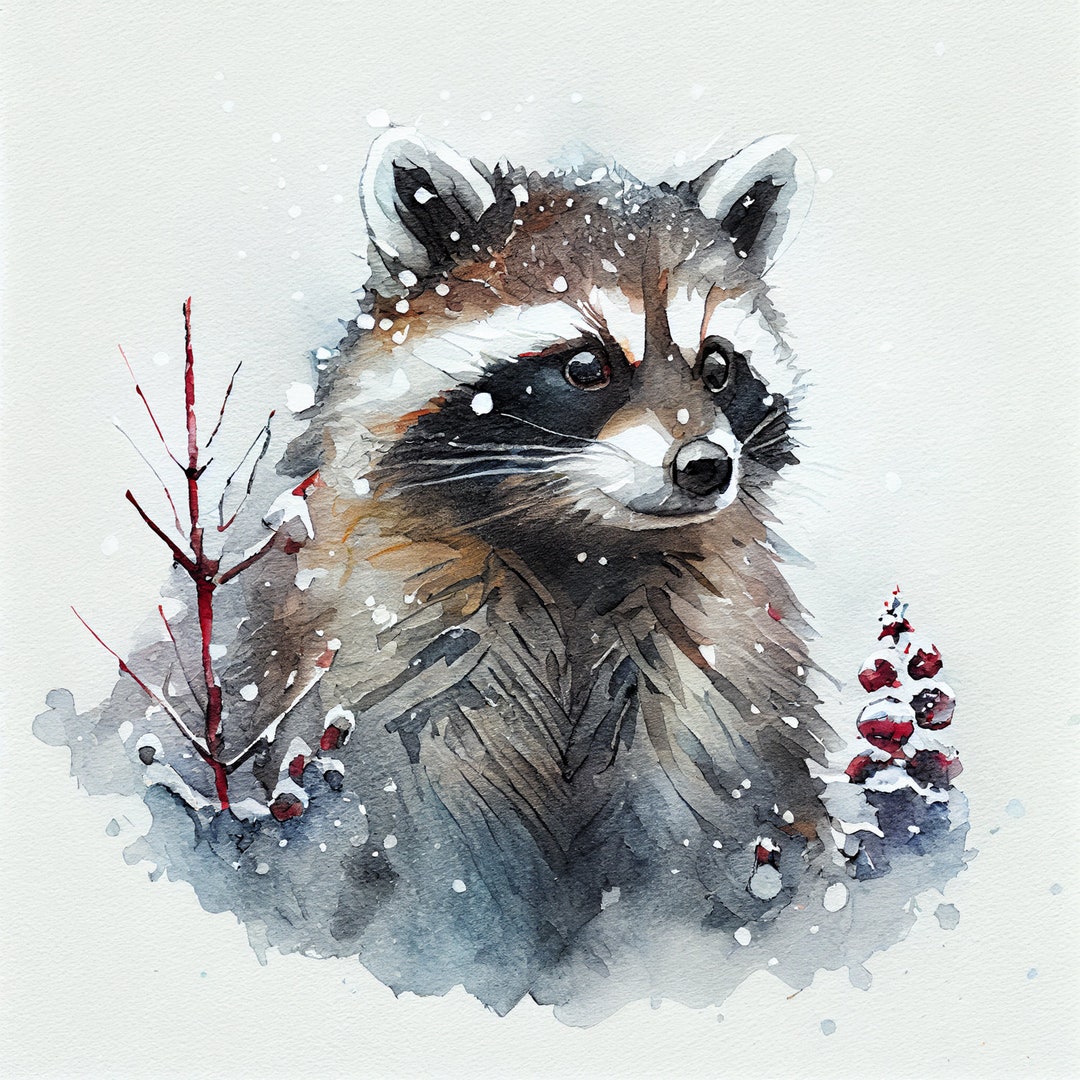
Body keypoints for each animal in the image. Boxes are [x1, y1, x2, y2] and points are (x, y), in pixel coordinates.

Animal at [239, 128, 844, 1011]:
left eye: (720, 367)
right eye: (587, 366)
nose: (706, 467)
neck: (578, 549)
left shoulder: (705, 664)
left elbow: (700, 806)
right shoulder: (398, 648)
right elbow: (435, 828)